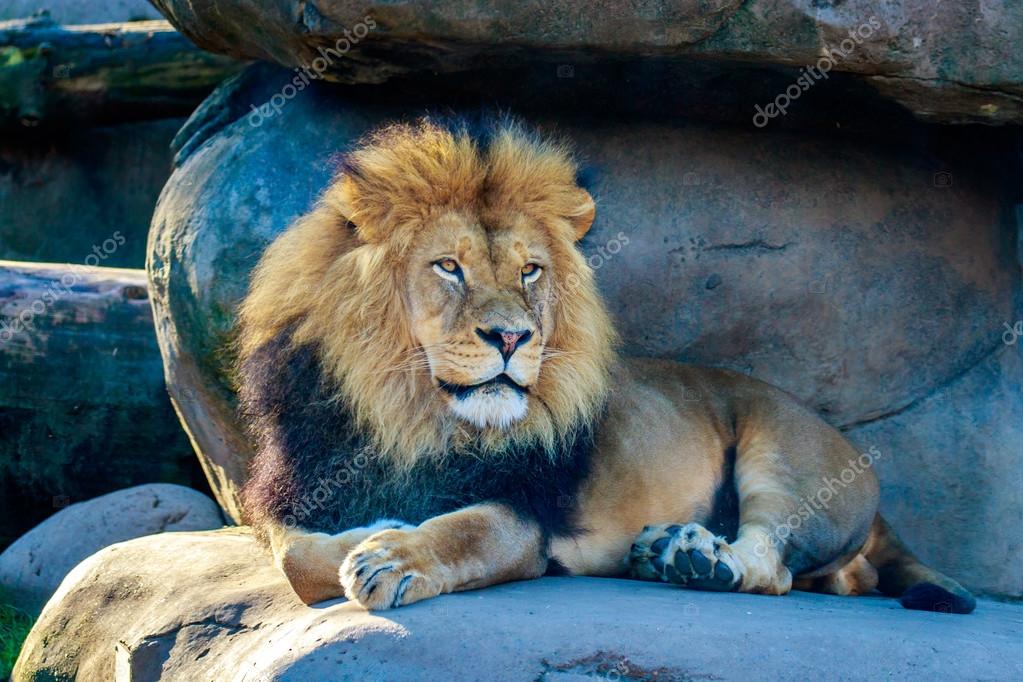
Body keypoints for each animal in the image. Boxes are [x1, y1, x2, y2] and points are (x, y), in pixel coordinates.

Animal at [236, 116, 975, 614]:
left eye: (530, 271)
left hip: (785, 456)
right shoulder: (286, 491)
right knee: (845, 578)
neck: (404, 411)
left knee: (776, 566)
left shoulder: (525, 517)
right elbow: (295, 556)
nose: (512, 337)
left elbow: (459, 529)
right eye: (448, 267)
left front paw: (391, 551)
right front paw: (371, 529)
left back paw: (694, 557)